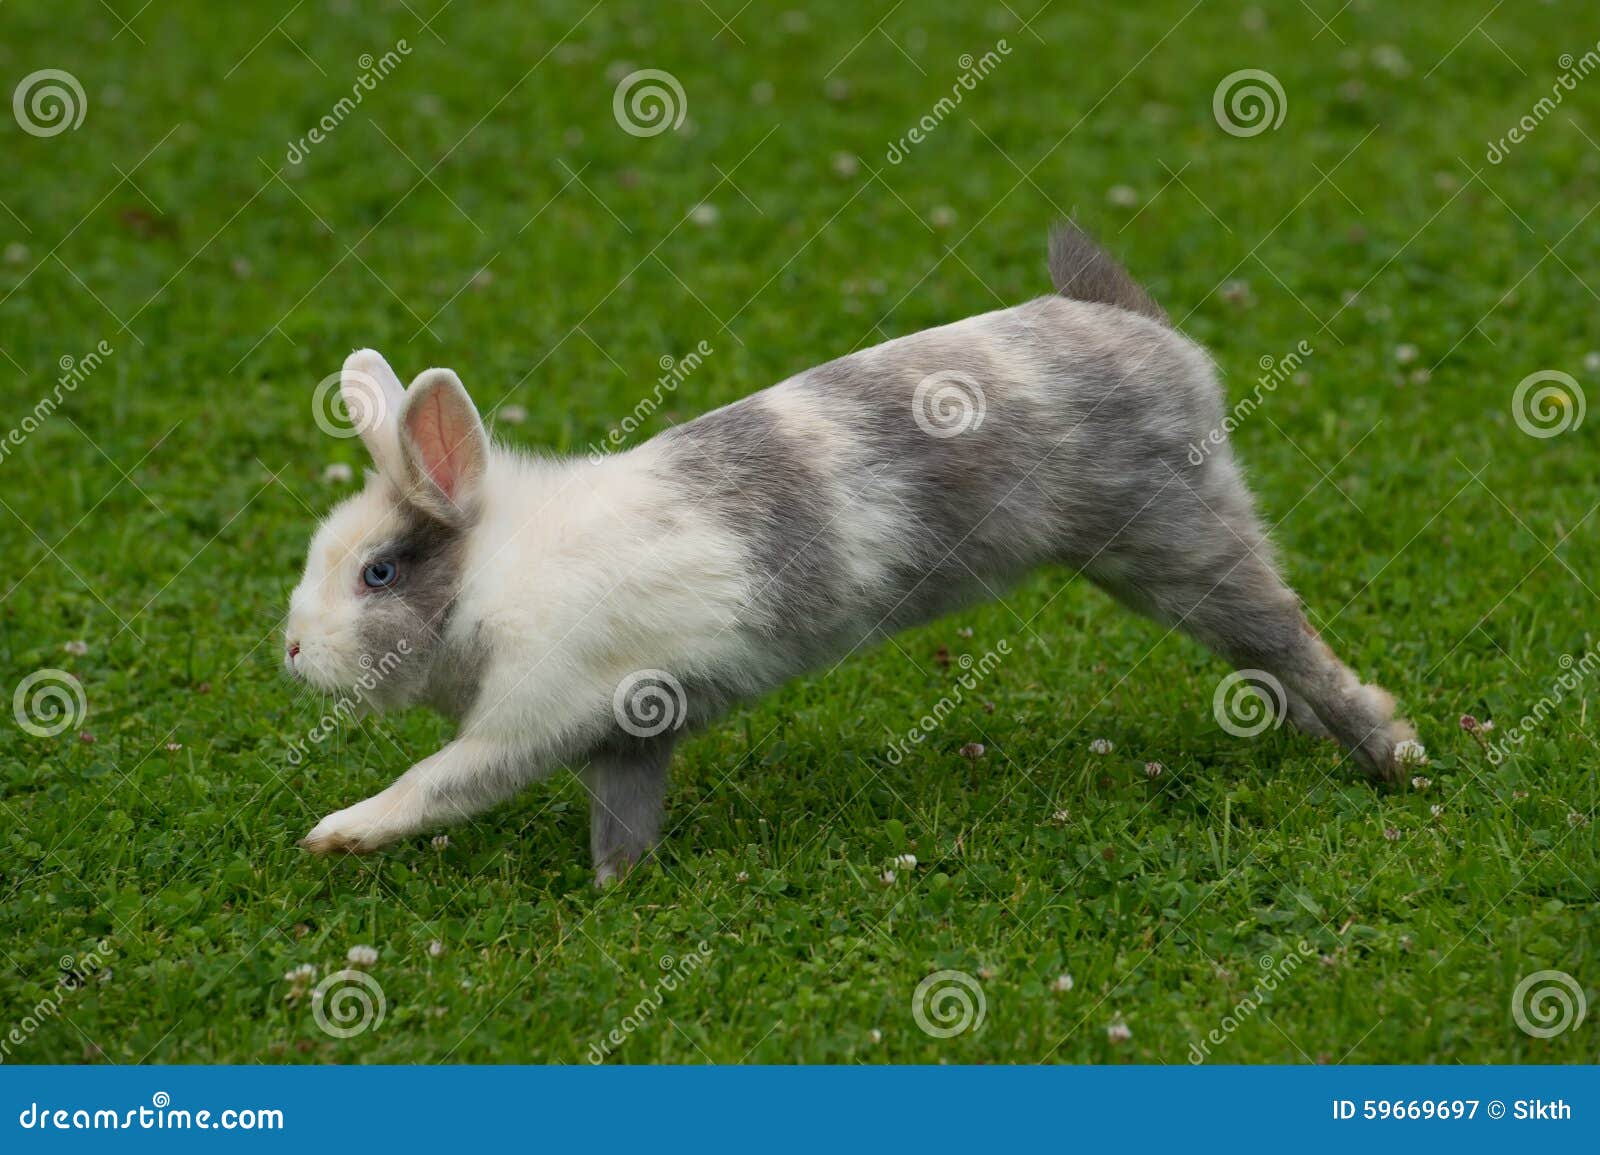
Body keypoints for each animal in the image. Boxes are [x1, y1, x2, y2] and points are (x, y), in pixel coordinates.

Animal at [286, 223, 1417, 884]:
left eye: (380, 572)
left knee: (1294, 643)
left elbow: (440, 780)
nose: (292, 654)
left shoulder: (533, 715)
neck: (491, 578)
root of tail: (1144, 336)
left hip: (1172, 539)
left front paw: (338, 832)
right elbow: (623, 826)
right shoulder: (629, 736)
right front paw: (615, 899)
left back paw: (1396, 761)